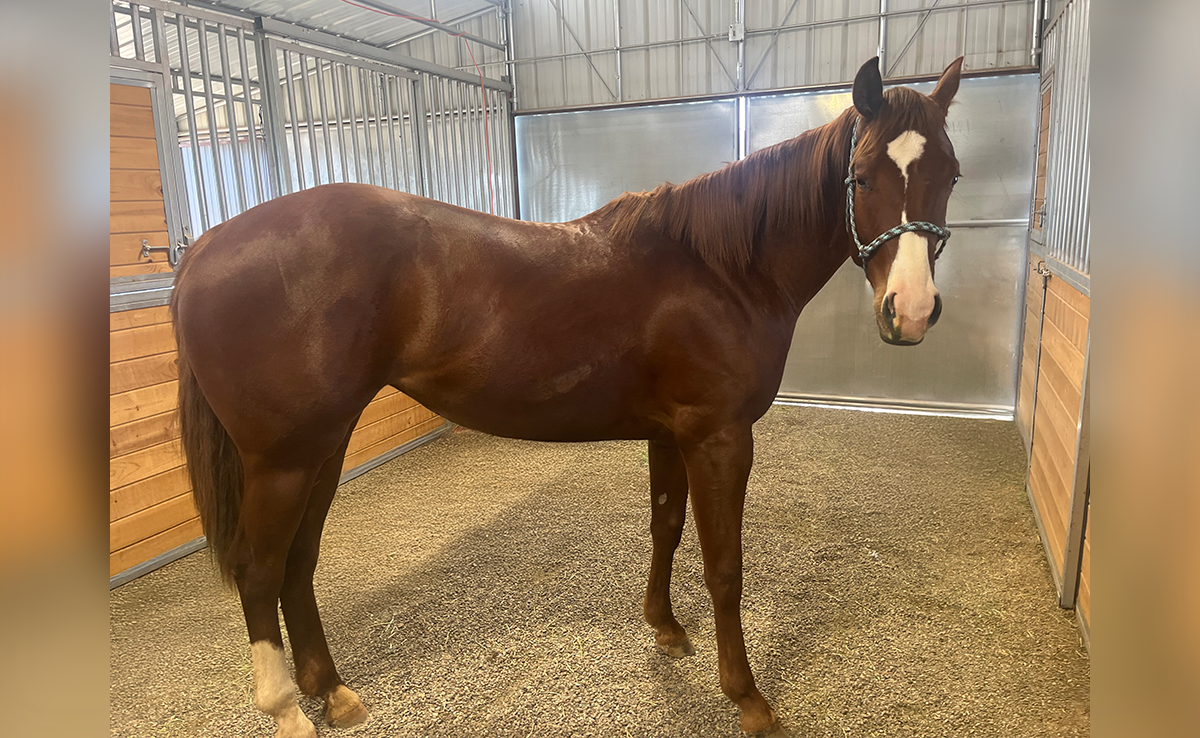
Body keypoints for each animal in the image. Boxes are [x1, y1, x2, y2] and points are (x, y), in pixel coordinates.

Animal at [171, 56, 964, 737]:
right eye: (861, 177)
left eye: (951, 174)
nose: (912, 311)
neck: (720, 270)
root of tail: (207, 245)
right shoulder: (719, 436)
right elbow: (724, 564)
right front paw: (747, 697)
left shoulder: (671, 434)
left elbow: (666, 529)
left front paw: (665, 629)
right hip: (282, 459)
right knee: (258, 570)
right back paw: (286, 708)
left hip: (324, 448)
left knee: (298, 563)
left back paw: (332, 691)